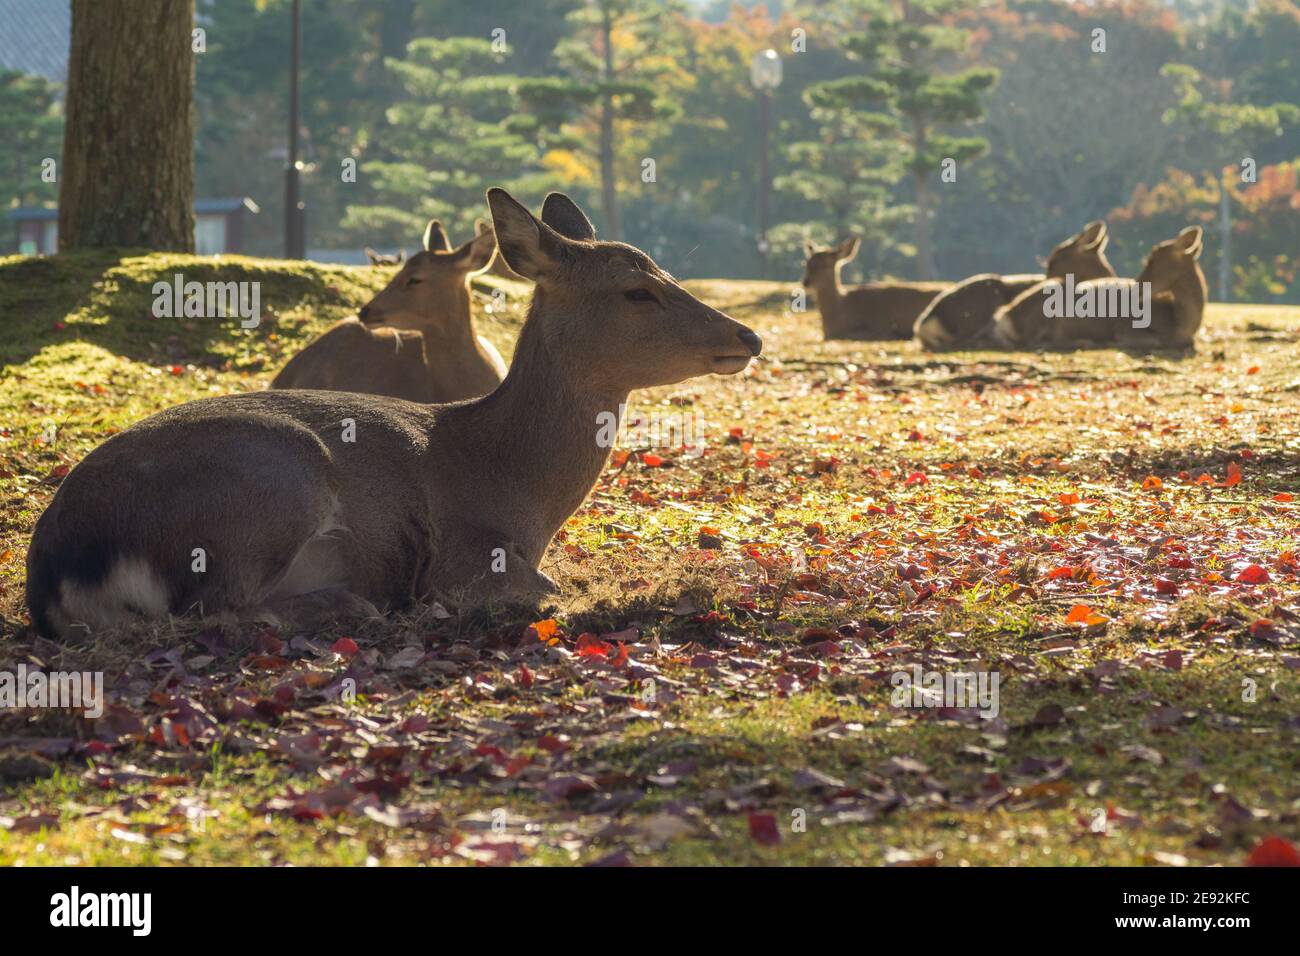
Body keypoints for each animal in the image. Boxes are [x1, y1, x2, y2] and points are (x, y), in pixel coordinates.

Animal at [993, 227, 1205, 350]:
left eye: (1152, 261)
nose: (1136, 289)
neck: (1180, 324)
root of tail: (1004, 315)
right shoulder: (1126, 326)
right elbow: (1155, 340)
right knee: (1038, 340)